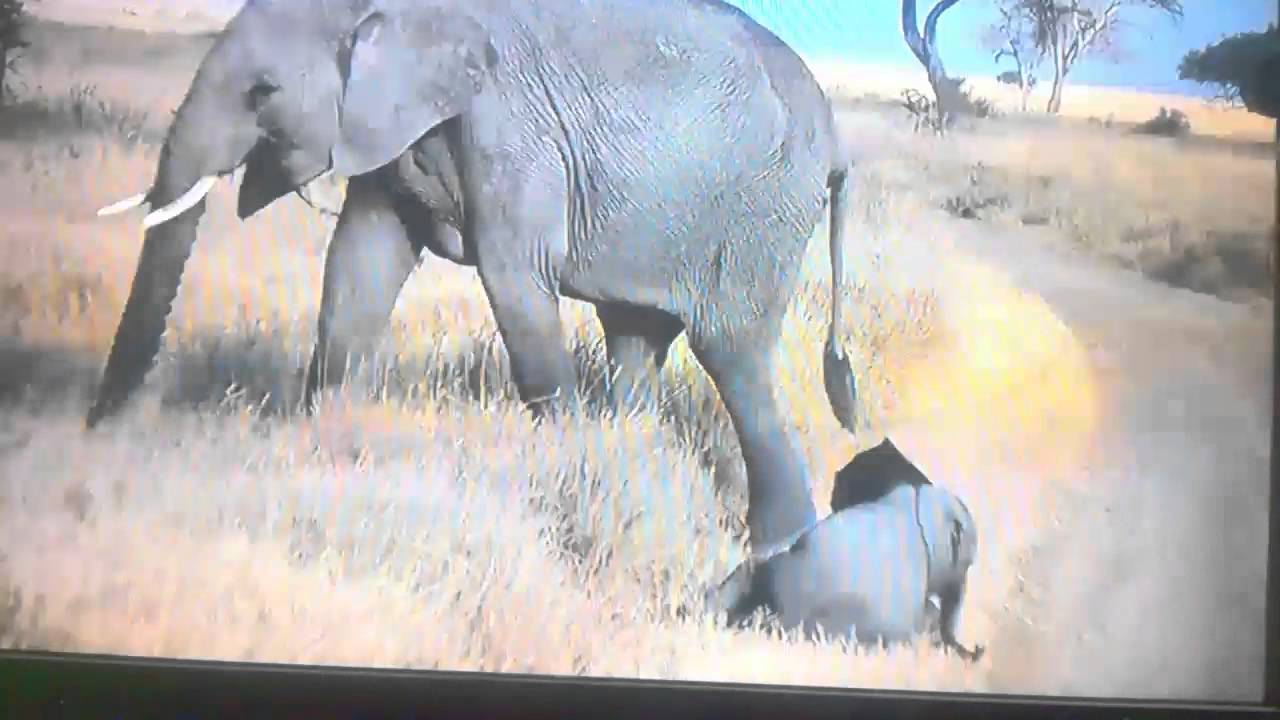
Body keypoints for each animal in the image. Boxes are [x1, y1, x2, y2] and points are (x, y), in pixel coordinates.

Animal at [86, 0, 863, 573]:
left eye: (263, 92)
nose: (99, 430)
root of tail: (837, 140)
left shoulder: (509, 128)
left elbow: (515, 276)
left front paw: (564, 463)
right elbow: (361, 262)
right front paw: (315, 442)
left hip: (760, 215)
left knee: (733, 359)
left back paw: (775, 551)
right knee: (636, 341)